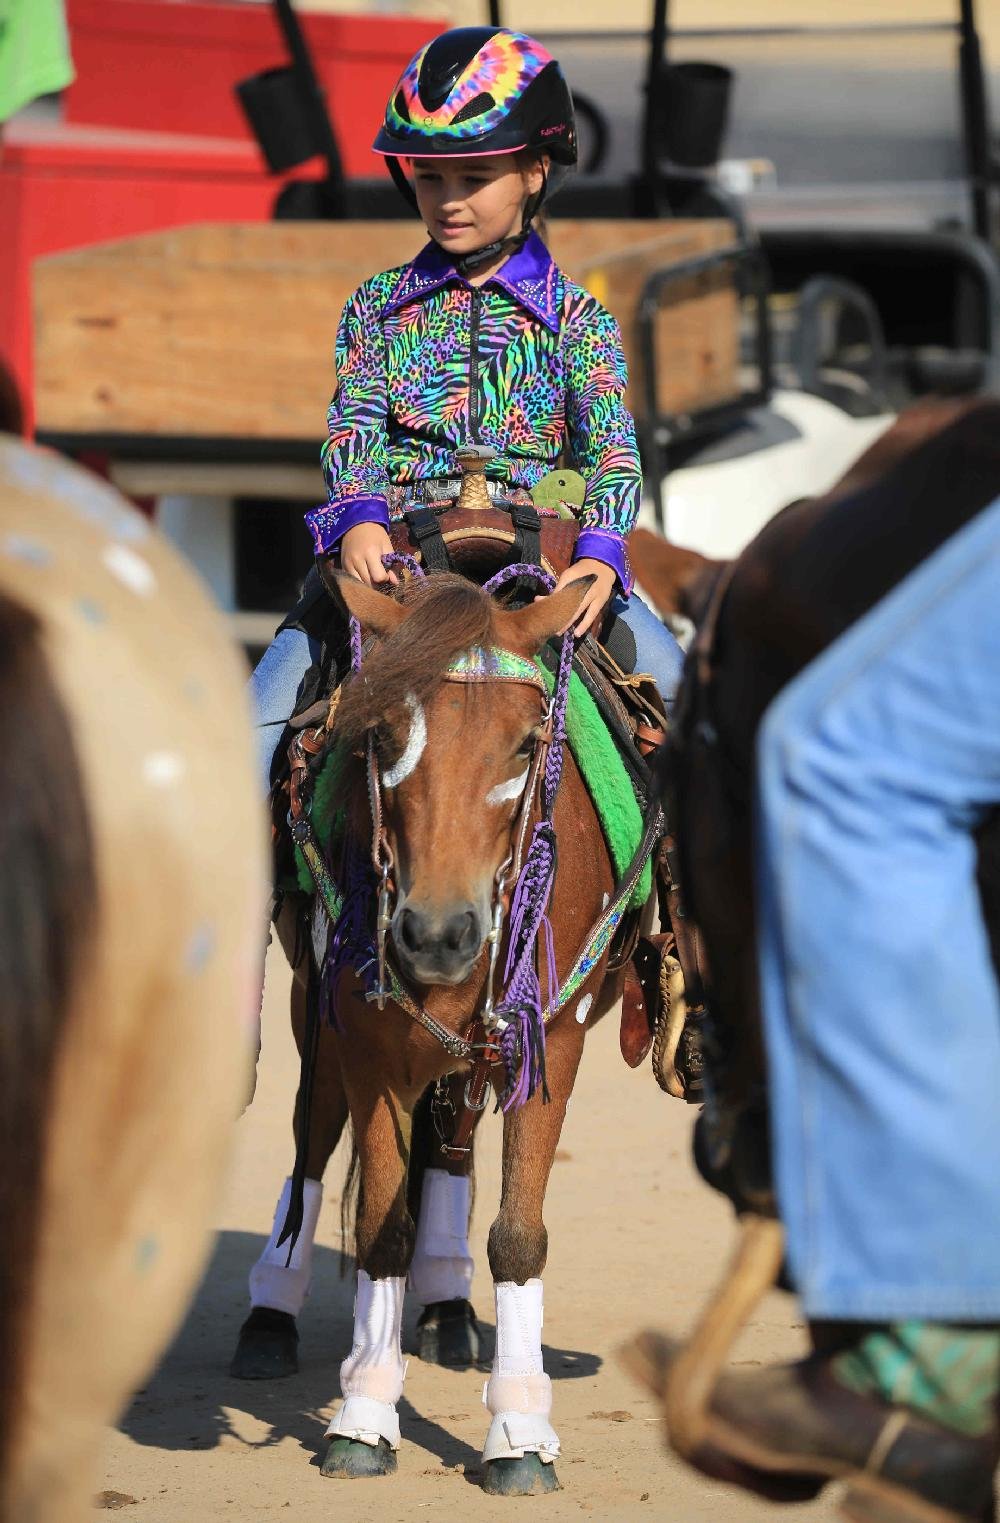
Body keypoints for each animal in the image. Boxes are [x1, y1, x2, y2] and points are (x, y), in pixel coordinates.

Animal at [230, 562, 654, 1496]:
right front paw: (364, 1414)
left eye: (528, 743)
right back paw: (270, 1315)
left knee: (453, 1141)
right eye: (382, 734)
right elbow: (379, 1223)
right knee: (311, 1145)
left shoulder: (550, 1038)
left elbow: (517, 1233)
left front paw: (521, 1428)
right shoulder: (368, 1042)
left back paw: (453, 1308)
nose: (436, 933)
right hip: (315, 1014)